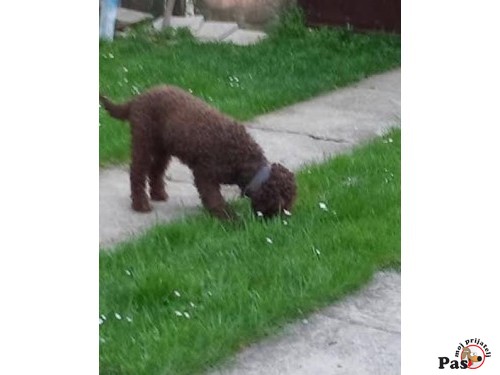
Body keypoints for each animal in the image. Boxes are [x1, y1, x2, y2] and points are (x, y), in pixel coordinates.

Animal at [100, 85, 296, 220]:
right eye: (284, 203)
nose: (285, 220)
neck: (241, 158)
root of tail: (137, 99)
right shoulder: (205, 174)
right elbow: (214, 199)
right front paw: (229, 219)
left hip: (163, 148)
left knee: (156, 171)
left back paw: (159, 194)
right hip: (144, 141)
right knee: (137, 172)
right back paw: (140, 204)